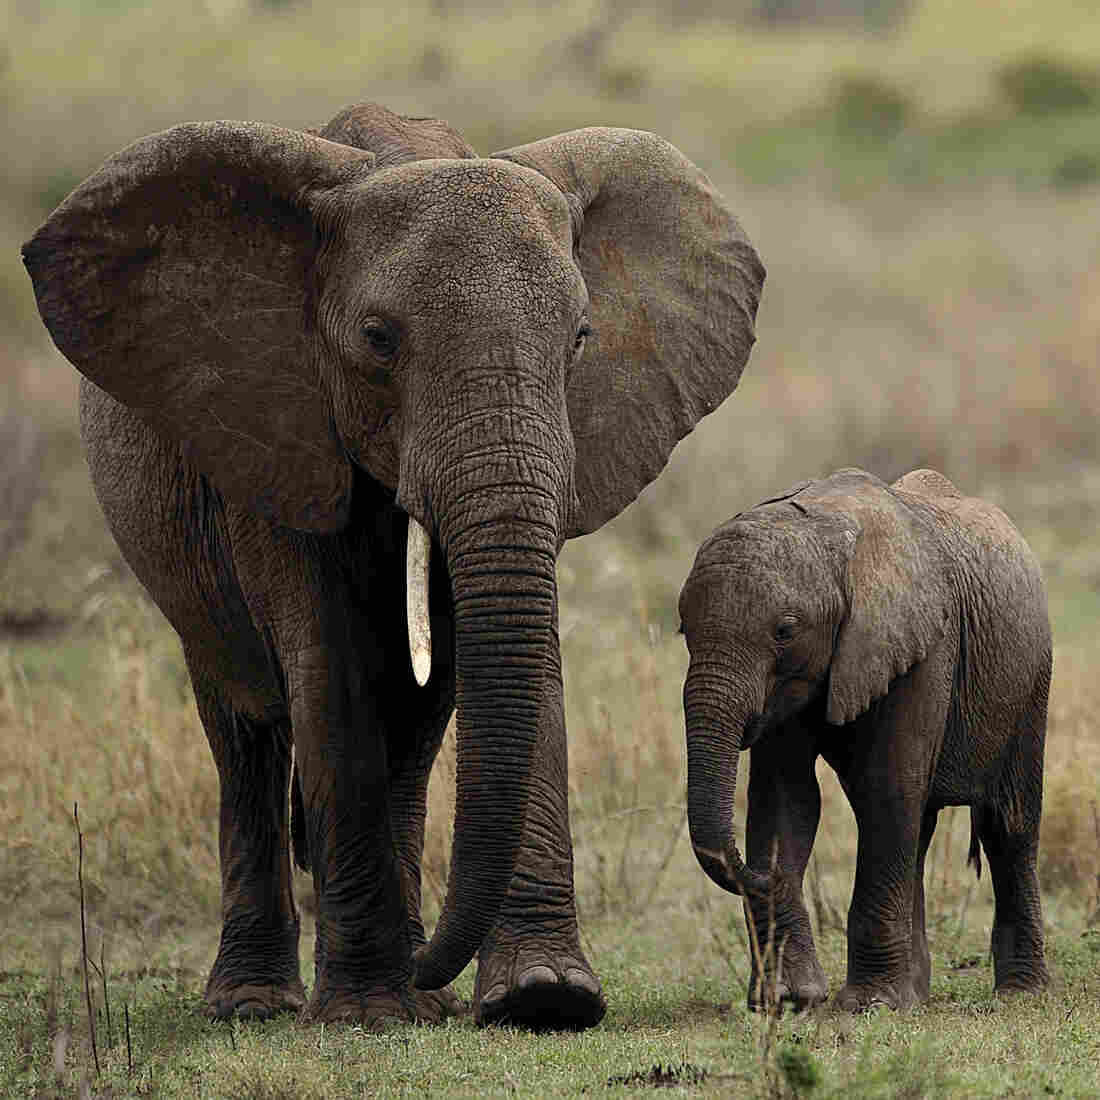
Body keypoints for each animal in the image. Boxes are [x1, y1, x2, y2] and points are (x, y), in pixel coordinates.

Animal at [23, 102, 764, 1030]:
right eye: (378, 340)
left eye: (581, 337)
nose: (430, 978)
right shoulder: (281, 434)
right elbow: (330, 671)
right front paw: (368, 1014)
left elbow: (526, 655)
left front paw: (544, 999)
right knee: (245, 727)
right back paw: (259, 1003)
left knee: (413, 732)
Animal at [678, 467, 1051, 1013]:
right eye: (682, 628)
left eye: (784, 631)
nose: (761, 875)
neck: (825, 530)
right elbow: (785, 796)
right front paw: (791, 1000)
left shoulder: (925, 644)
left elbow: (887, 786)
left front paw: (868, 1005)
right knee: (919, 832)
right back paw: (915, 995)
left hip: (1029, 683)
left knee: (1008, 825)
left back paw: (1020, 994)